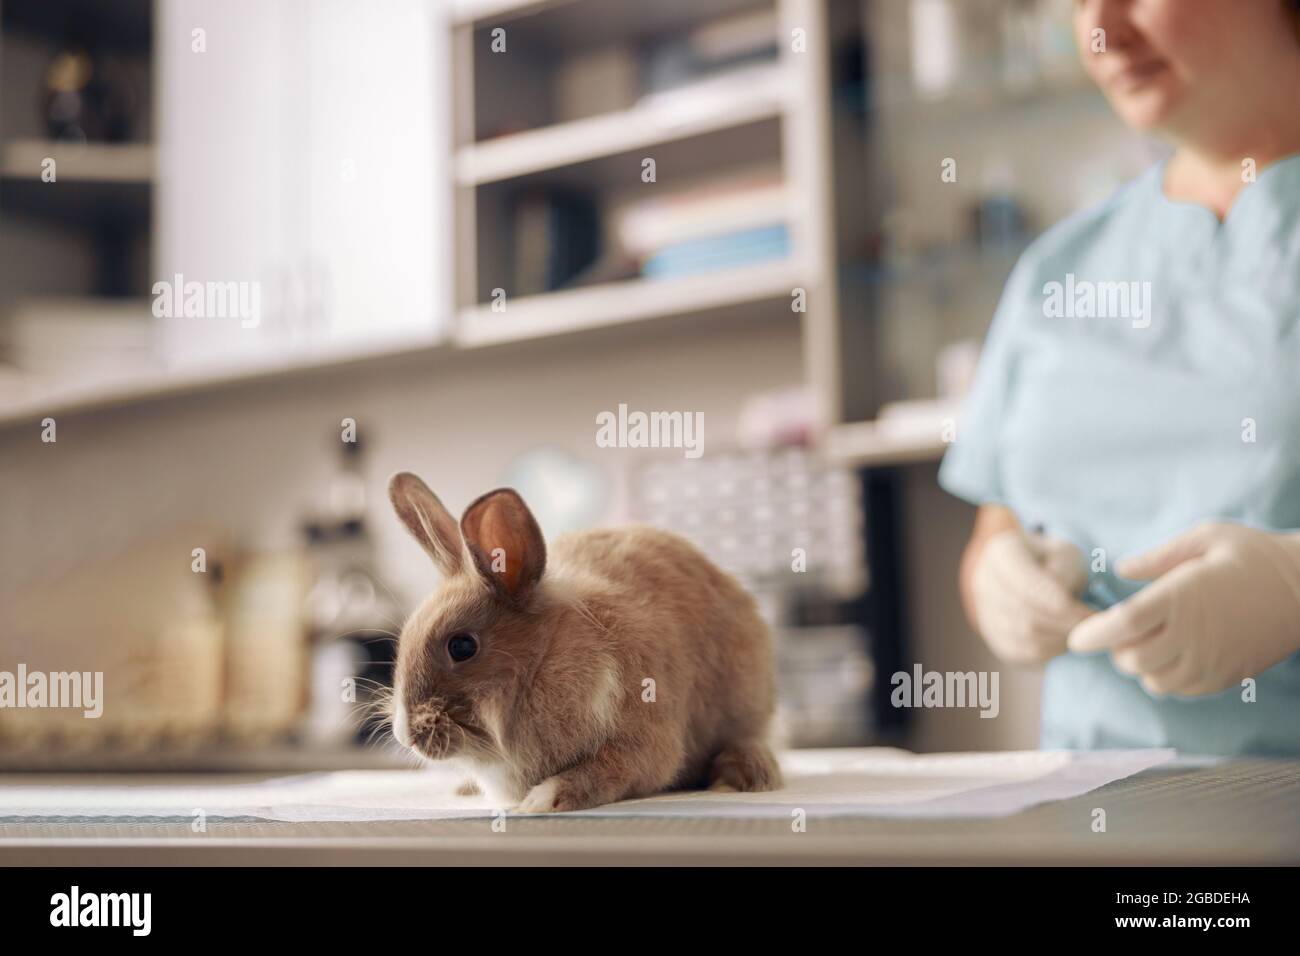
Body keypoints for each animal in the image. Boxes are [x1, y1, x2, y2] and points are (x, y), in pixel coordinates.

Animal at [386, 471, 782, 813]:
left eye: (463, 647)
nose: (405, 736)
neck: (543, 659)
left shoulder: (644, 745)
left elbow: (607, 772)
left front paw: (541, 800)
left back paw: (744, 774)